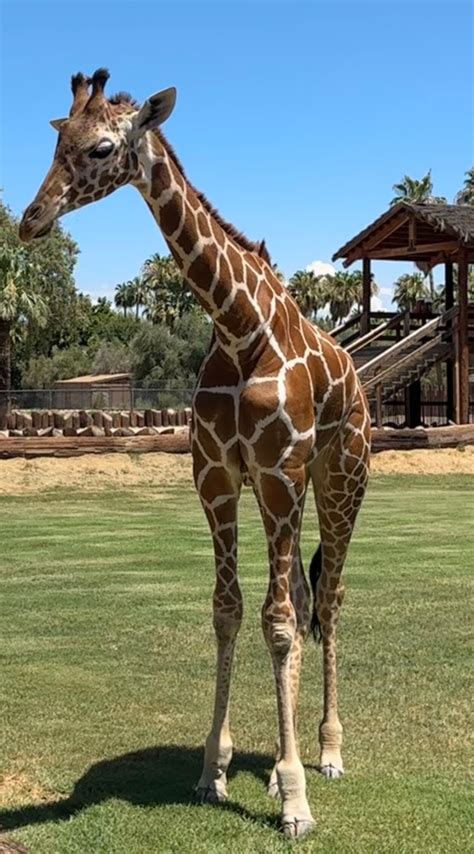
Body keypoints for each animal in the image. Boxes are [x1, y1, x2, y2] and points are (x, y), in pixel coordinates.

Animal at [20, 69, 371, 839]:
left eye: (101, 148)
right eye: (56, 141)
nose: (30, 220)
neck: (239, 326)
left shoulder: (275, 471)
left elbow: (276, 622)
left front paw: (296, 800)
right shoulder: (217, 476)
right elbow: (230, 609)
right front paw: (217, 768)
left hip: (340, 475)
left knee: (328, 597)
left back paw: (328, 753)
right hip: (291, 489)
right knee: (303, 595)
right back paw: (275, 763)